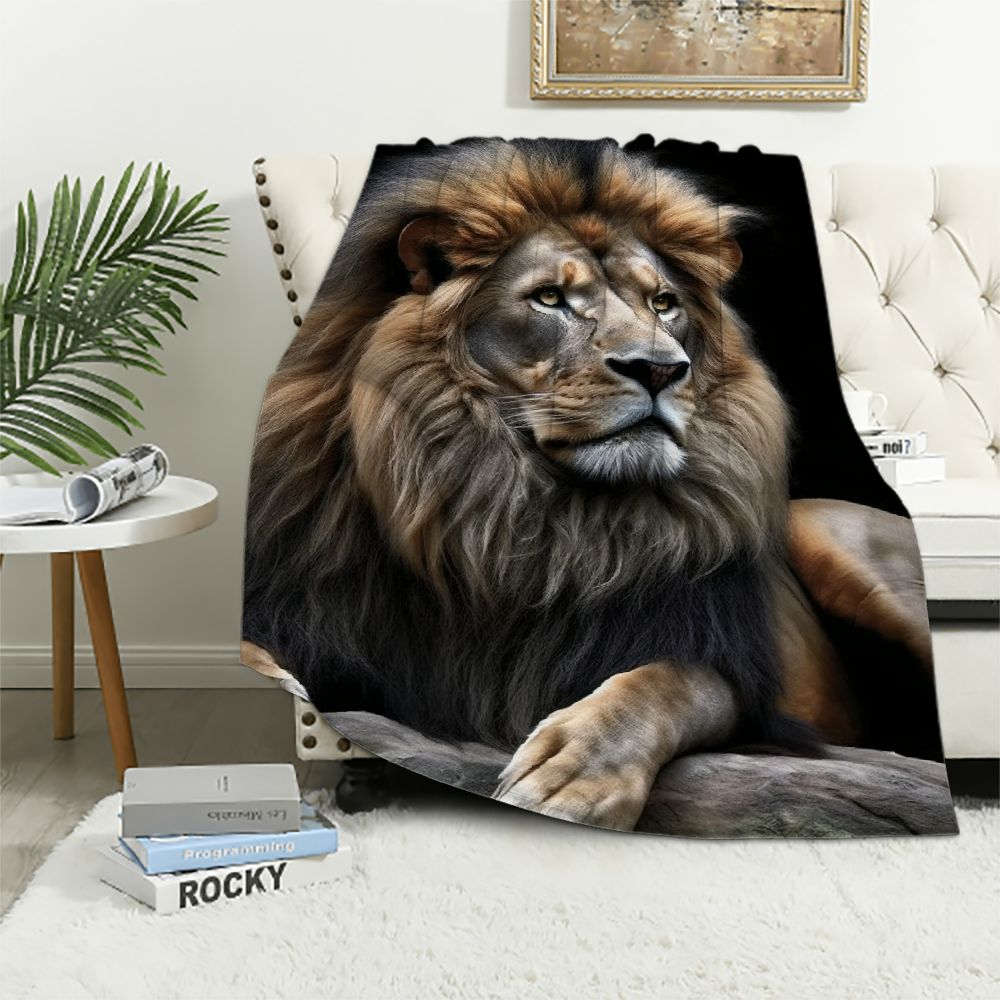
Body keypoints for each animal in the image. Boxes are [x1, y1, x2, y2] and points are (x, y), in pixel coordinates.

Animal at [243, 139, 936, 831]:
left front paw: (572, 776)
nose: (660, 369)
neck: (531, 525)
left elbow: (668, 682)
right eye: (549, 298)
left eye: (663, 304)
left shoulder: (740, 684)